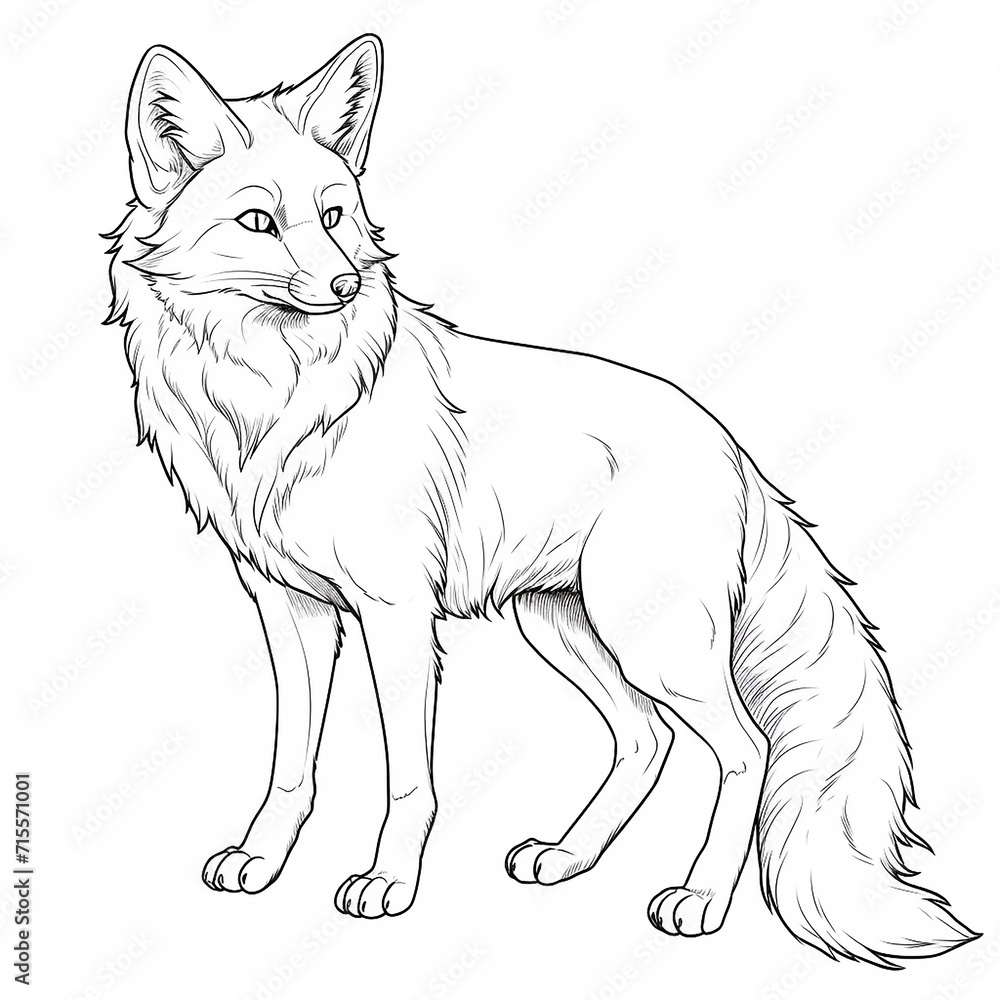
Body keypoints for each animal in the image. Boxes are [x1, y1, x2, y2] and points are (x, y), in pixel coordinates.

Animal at [105, 34, 977, 967]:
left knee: (746, 749)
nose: (343, 286)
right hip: (562, 628)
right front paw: (262, 863)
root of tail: (730, 446)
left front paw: (390, 884)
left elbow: (407, 777)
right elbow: (291, 764)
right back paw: (567, 856)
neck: (270, 401)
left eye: (334, 216)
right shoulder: (290, 610)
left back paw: (701, 898)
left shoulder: (394, 615)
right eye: (259, 223)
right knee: (646, 738)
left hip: (650, 643)